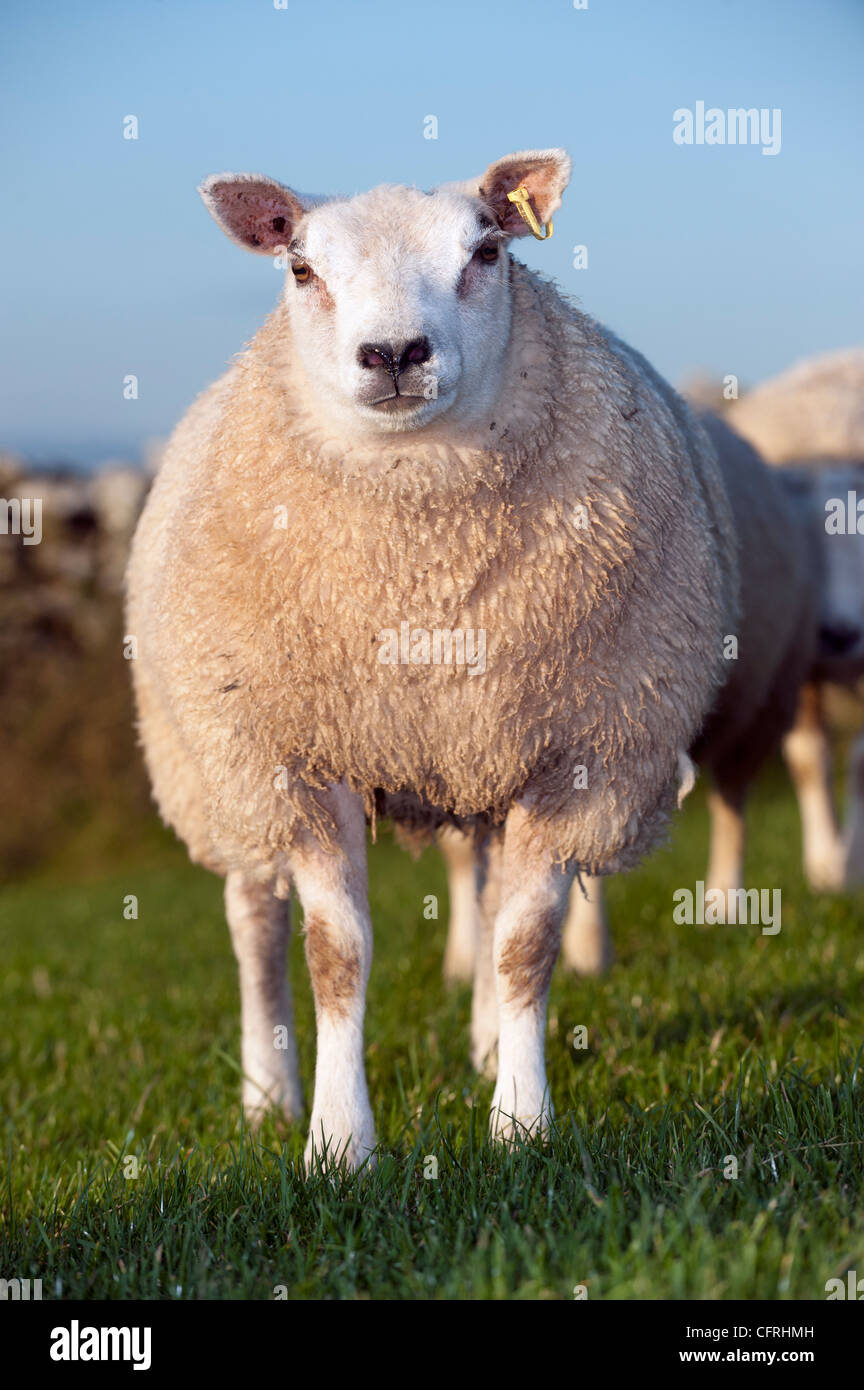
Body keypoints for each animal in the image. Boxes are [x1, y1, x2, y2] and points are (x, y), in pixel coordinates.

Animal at [127, 149, 742, 1170]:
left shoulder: (576, 758)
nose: (394, 355)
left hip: (481, 744)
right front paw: (338, 1144)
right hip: (224, 763)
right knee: (253, 924)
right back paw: (266, 1094)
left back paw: (485, 1045)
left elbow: (525, 941)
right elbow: (334, 955)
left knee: (488, 900)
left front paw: (520, 1120)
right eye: (301, 268)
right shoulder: (306, 760)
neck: (423, 572)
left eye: (487, 252)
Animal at [728, 350, 864, 890]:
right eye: (802, 540)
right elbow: (810, 760)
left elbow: (861, 760)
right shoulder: (798, 662)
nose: (840, 635)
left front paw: (852, 861)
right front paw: (826, 867)